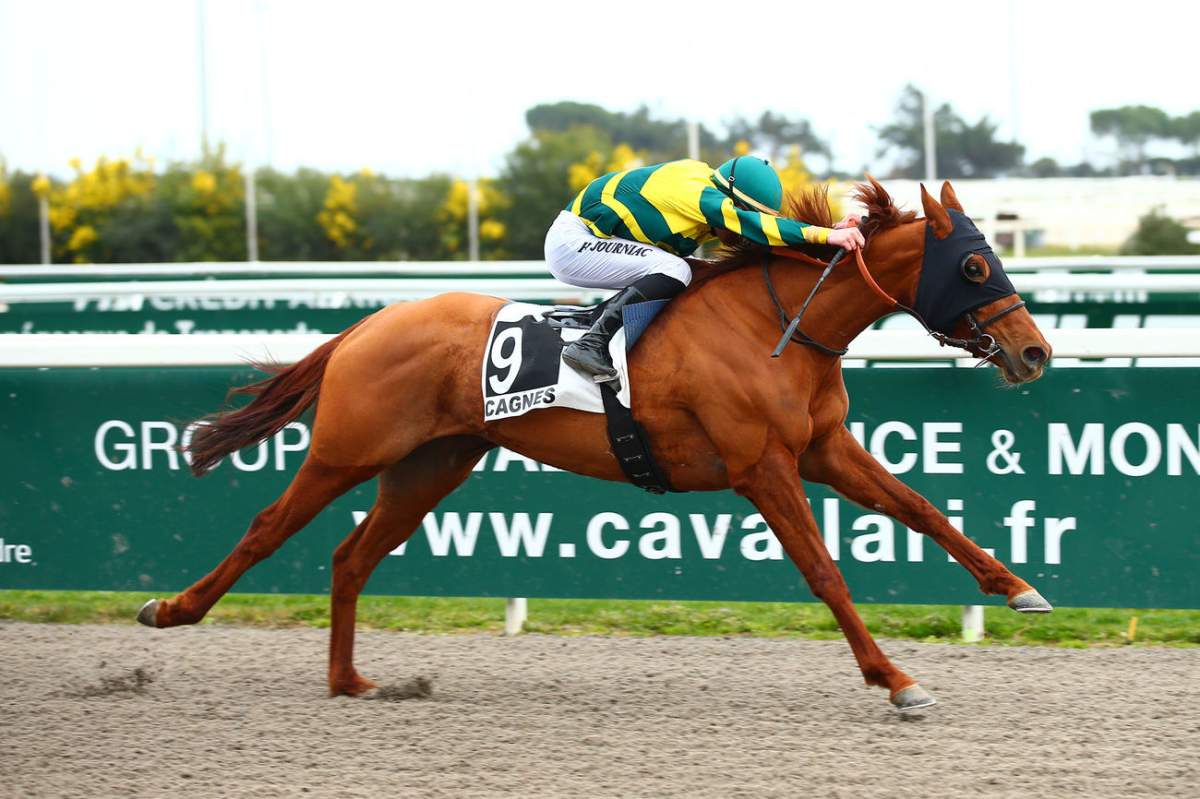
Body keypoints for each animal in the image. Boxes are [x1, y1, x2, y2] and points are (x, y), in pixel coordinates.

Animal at [137, 178, 1053, 711]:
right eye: (975, 267)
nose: (1036, 352)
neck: (776, 327)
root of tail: (368, 324)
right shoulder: (762, 467)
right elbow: (825, 572)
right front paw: (894, 679)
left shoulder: (824, 449)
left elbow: (922, 507)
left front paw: (1017, 588)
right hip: (347, 450)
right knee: (267, 528)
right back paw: (171, 609)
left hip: (432, 465)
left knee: (351, 555)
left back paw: (349, 678)